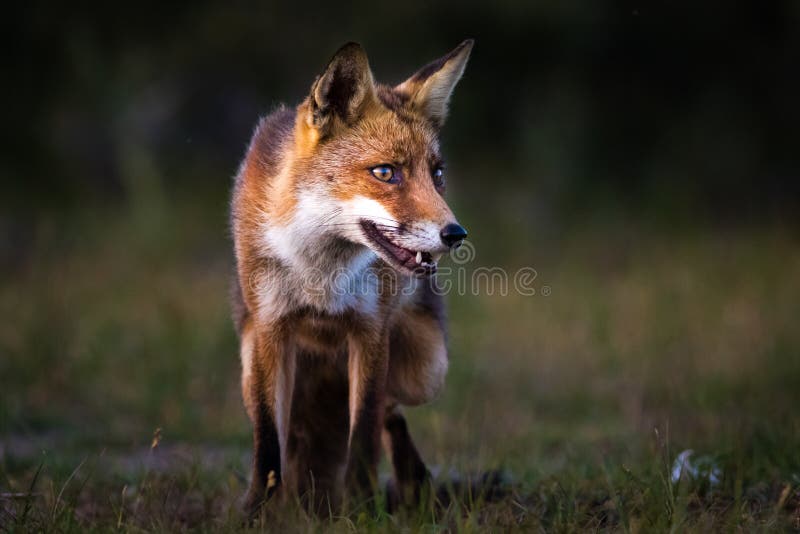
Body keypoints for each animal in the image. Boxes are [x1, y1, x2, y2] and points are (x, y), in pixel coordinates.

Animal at [230, 39, 473, 513]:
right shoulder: (270, 329)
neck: (319, 274)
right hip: (248, 360)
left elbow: (363, 432)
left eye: (437, 174)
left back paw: (415, 488)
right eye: (385, 172)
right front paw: (259, 511)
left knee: (390, 413)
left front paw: (360, 509)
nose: (455, 234)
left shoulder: (371, 331)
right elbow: (268, 441)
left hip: (427, 369)